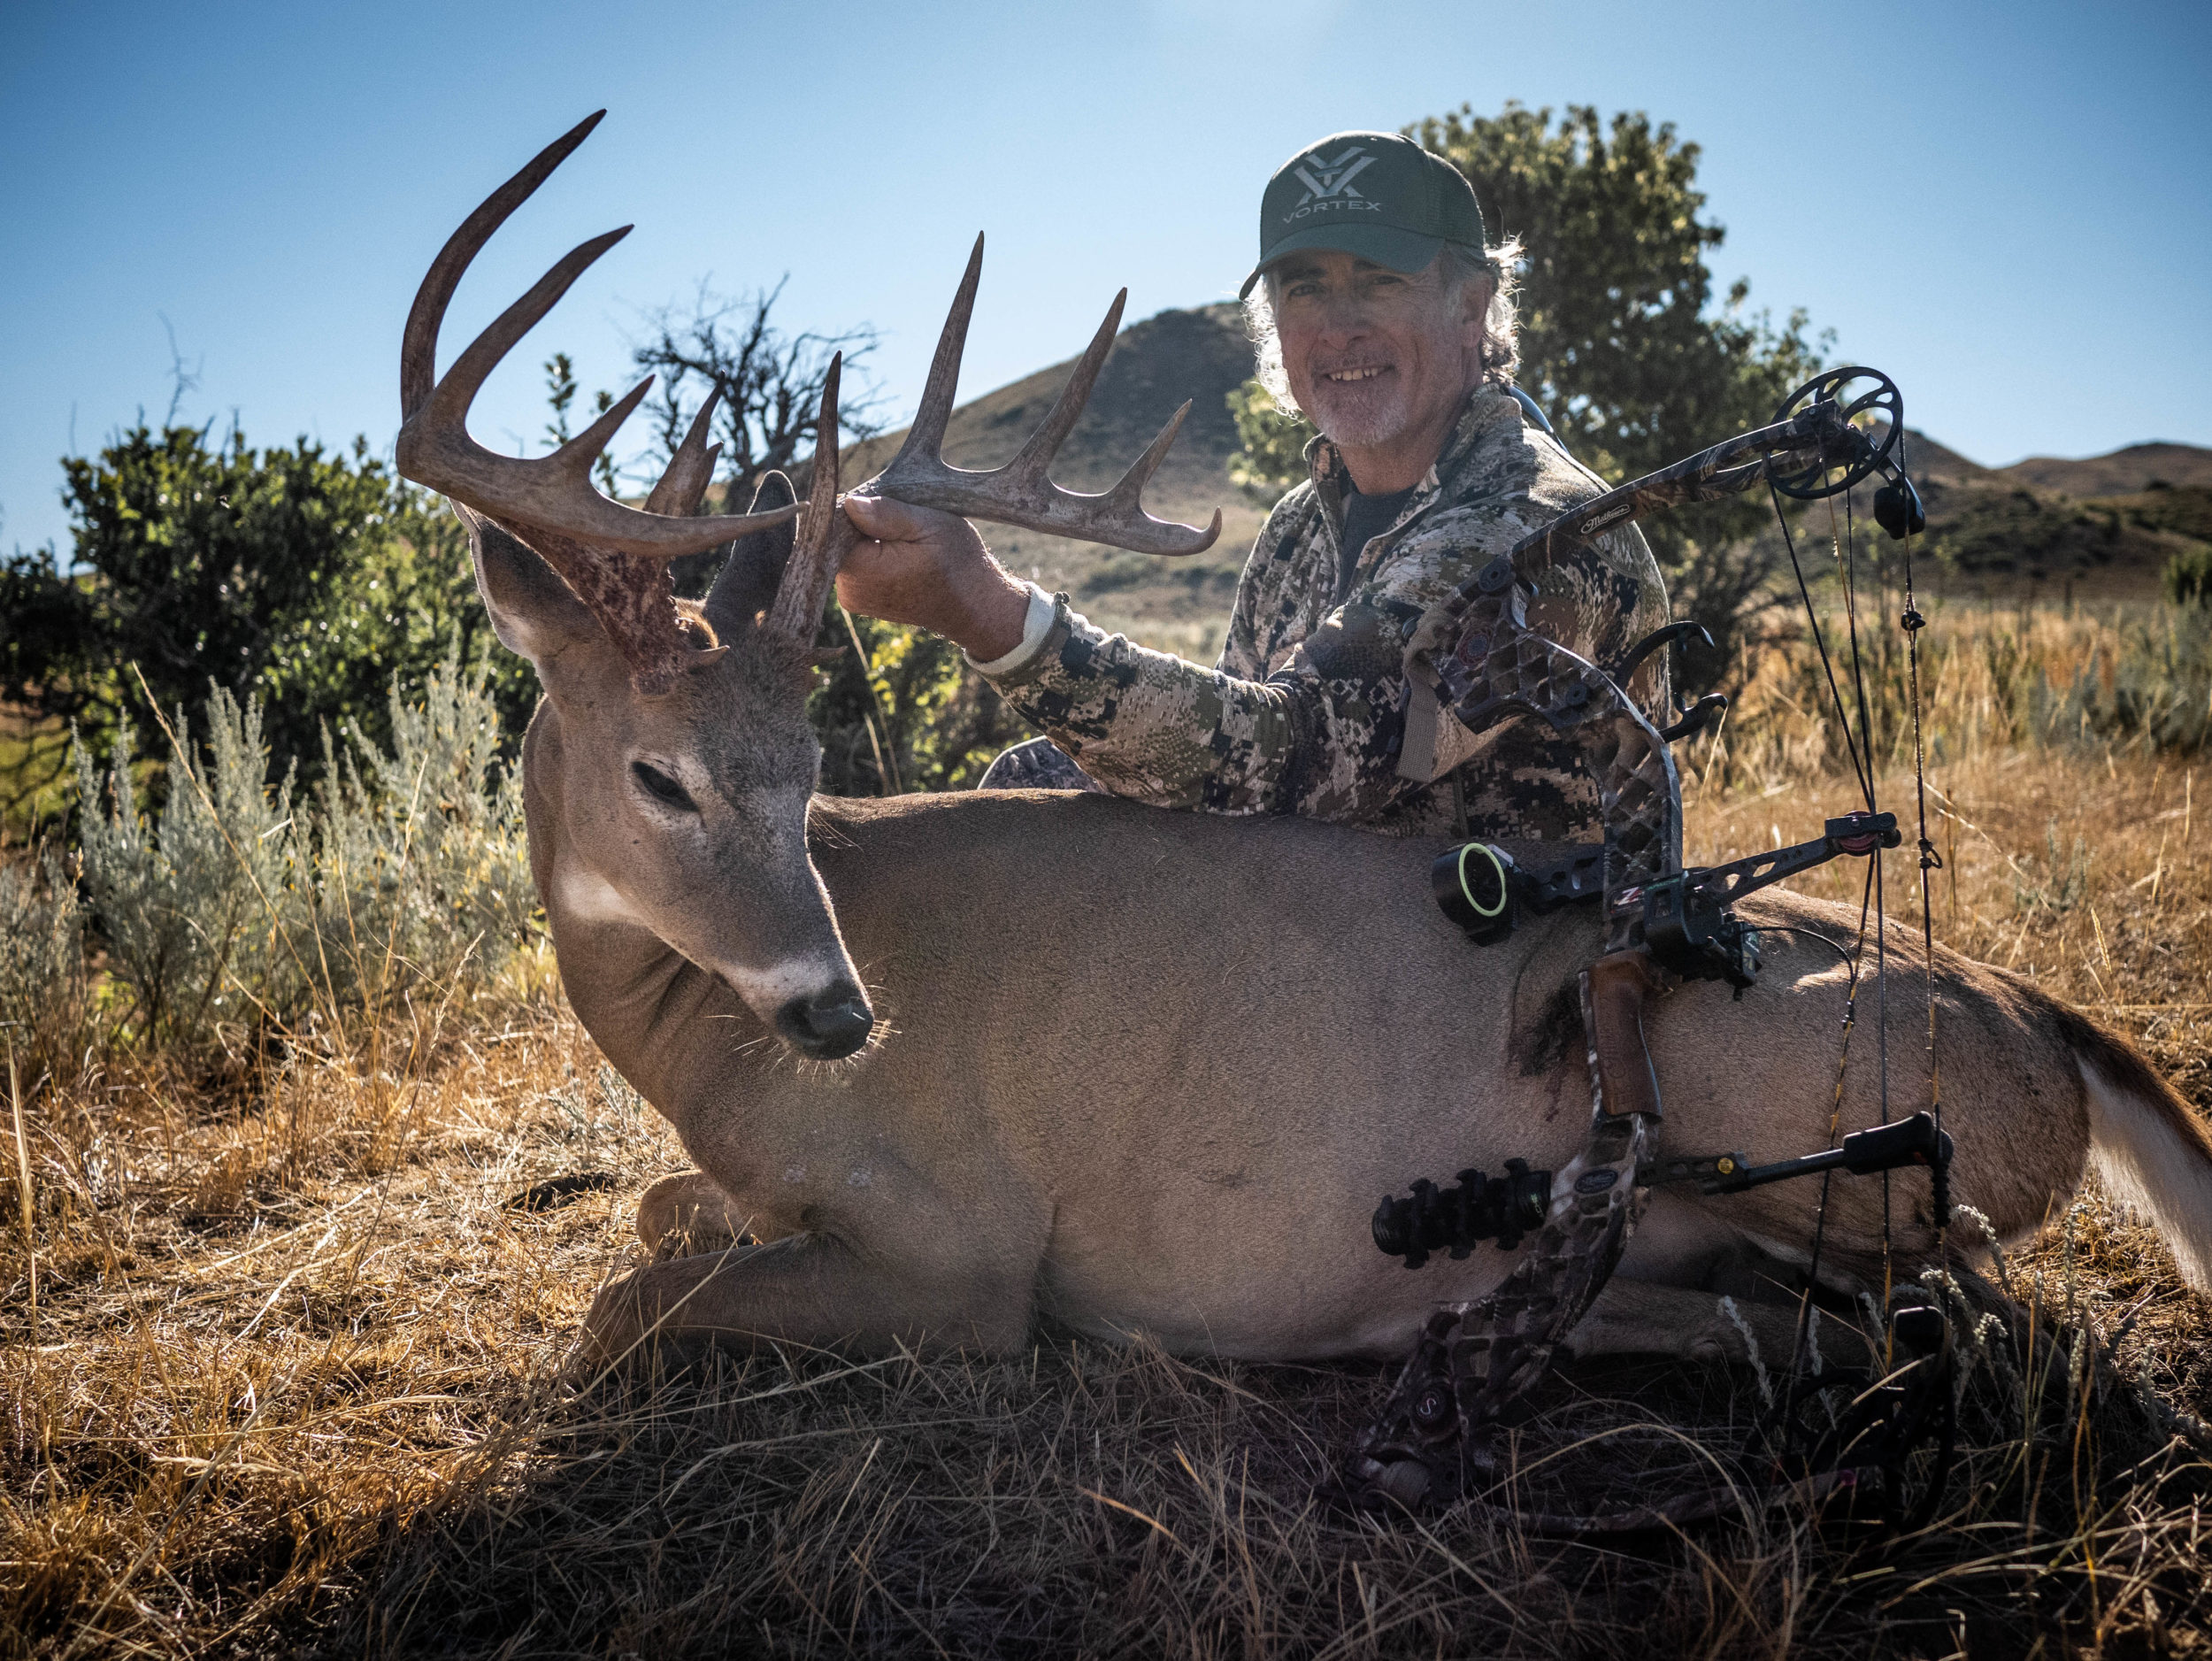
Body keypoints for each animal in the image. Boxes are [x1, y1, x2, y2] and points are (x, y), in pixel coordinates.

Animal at [396, 115, 2212, 1386]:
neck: (715, 1060)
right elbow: (650, 1214)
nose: (842, 1013)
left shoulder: (964, 1249)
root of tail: (2053, 1018)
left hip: (1766, 1082)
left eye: (805, 760)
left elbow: (622, 1307)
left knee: (1971, 1311)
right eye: (667, 773)